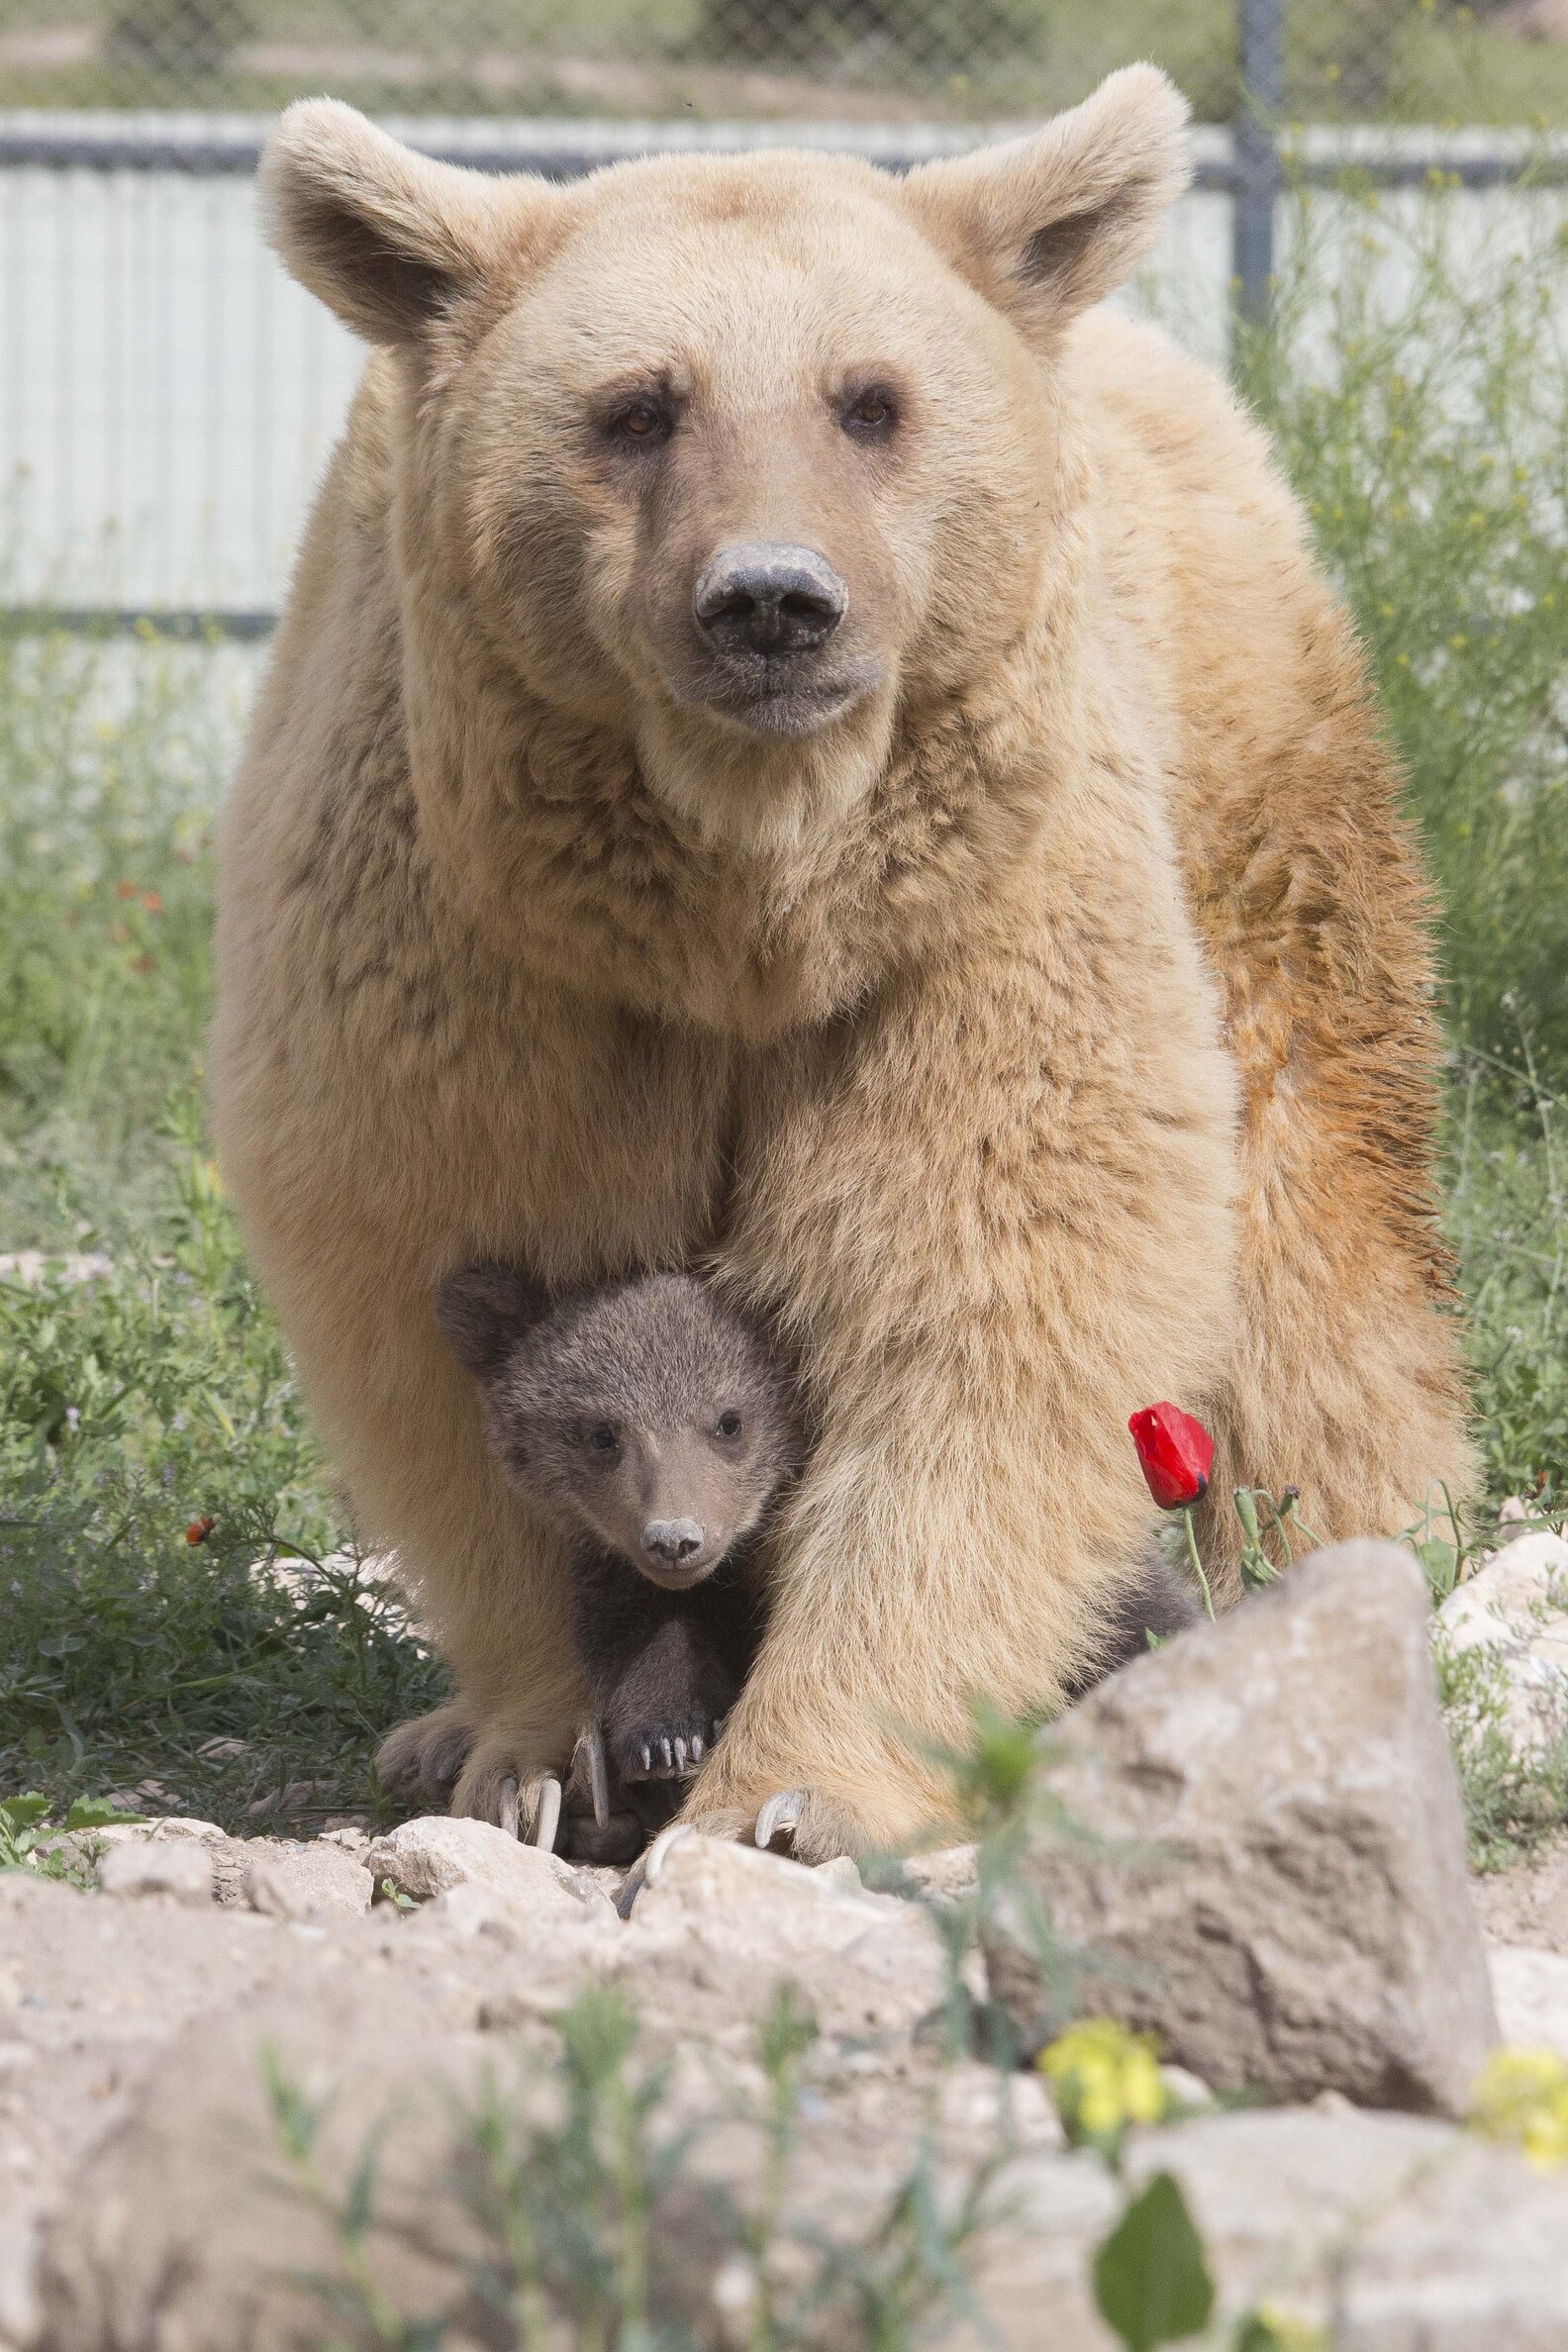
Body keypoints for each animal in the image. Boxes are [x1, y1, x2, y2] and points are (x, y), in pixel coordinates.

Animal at [212, 67, 1473, 1862]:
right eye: (639, 407)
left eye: (867, 402)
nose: (769, 604)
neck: (743, 896)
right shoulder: (479, 945)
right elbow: (451, 1289)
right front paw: (533, 1747)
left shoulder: (964, 929)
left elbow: (990, 1273)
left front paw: (794, 1788)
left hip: (1246, 774)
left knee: (1318, 1199)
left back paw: (1370, 1554)